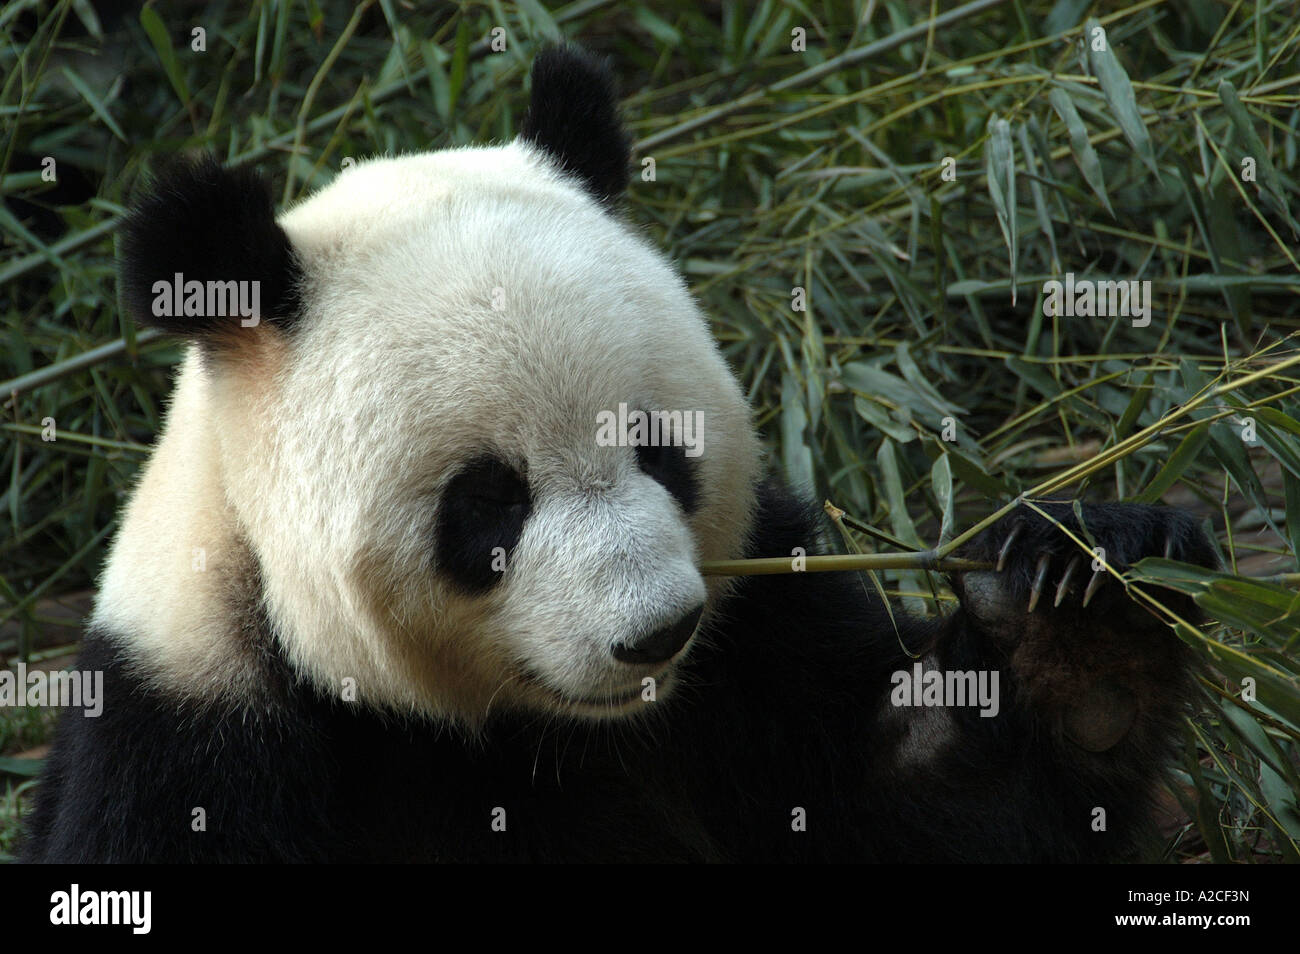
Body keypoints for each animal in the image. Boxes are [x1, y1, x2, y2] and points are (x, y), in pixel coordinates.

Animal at [22, 46, 1217, 863]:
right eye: (487, 504)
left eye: (661, 450)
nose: (659, 633)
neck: (526, 735)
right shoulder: (198, 733)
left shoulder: (755, 638)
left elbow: (910, 811)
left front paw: (1086, 608)